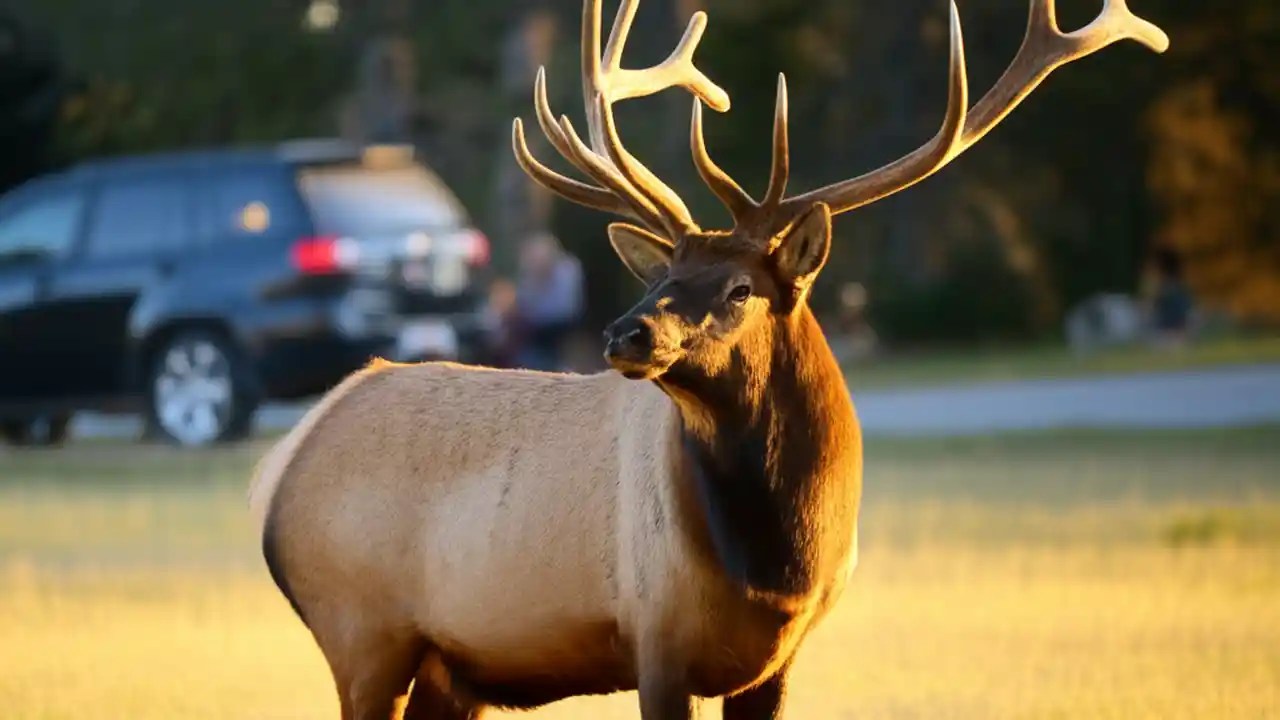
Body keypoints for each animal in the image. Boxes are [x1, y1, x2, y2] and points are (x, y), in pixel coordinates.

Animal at [249, 1, 1167, 718]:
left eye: (736, 287)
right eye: (663, 275)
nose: (624, 335)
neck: (778, 565)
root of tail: (283, 460)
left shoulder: (777, 661)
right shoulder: (656, 639)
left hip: (453, 666)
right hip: (362, 633)